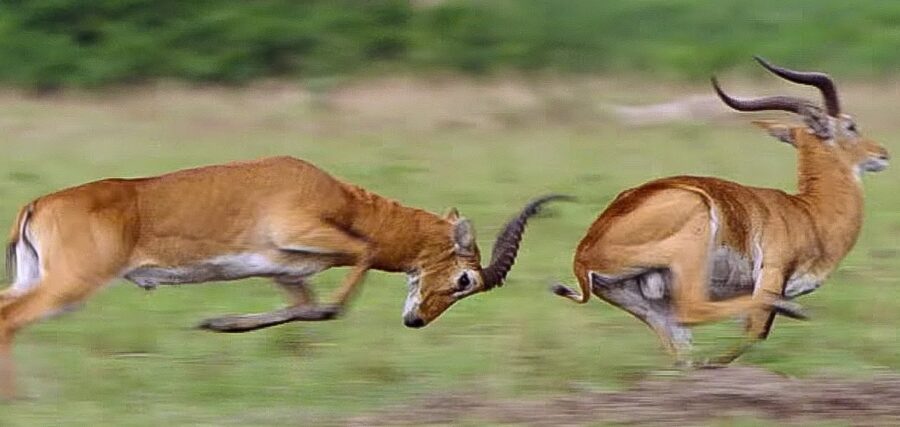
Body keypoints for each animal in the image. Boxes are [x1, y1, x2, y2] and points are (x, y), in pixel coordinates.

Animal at [0, 155, 568, 397]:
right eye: (465, 281)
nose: (418, 321)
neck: (339, 197)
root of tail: (38, 203)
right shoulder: (305, 234)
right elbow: (355, 267)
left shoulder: (285, 270)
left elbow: (302, 308)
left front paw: (217, 324)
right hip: (70, 285)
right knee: (10, 319)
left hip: (37, 278)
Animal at [553, 57, 889, 366]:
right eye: (850, 125)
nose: (882, 154)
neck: (807, 212)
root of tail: (585, 254)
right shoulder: (772, 273)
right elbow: (756, 331)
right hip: (694, 237)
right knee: (693, 311)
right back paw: (788, 313)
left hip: (648, 307)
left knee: (680, 351)